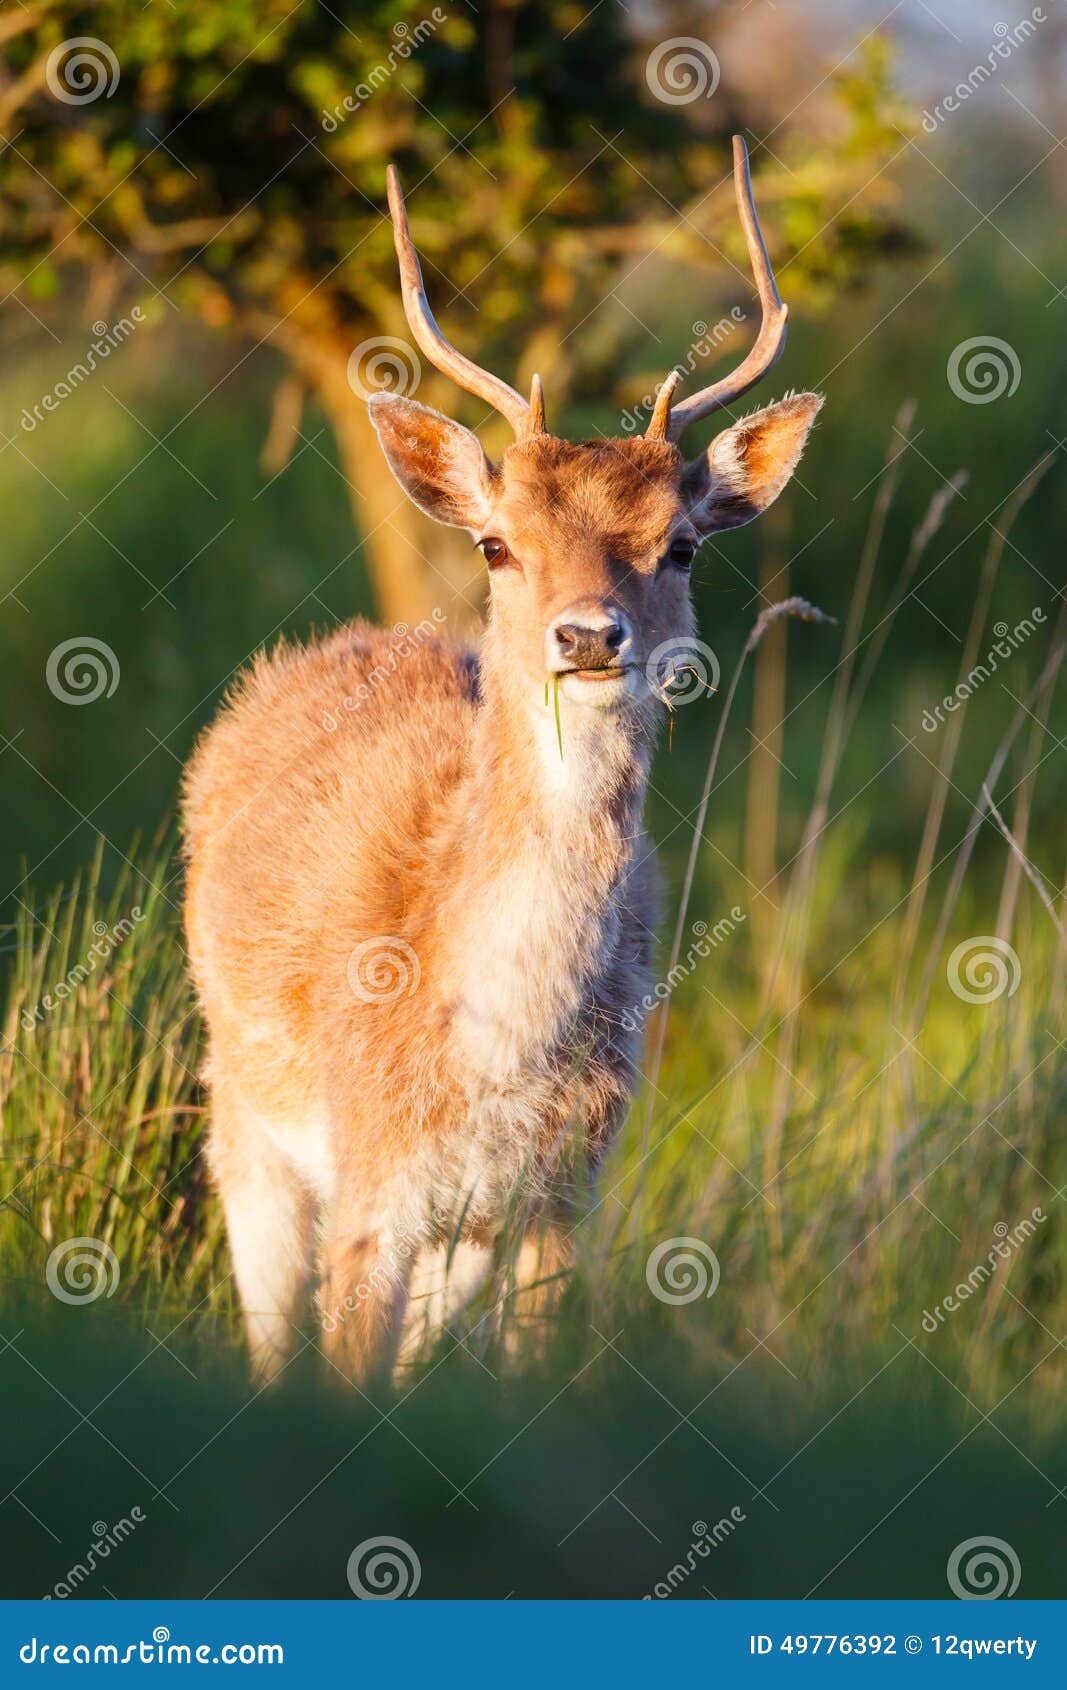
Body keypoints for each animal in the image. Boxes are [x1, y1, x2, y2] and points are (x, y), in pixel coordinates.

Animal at [182, 137, 822, 1385]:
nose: (585, 636)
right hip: (243, 1114)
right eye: (495, 543)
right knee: (267, 1337)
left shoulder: (563, 1194)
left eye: (679, 544)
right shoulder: (372, 1185)